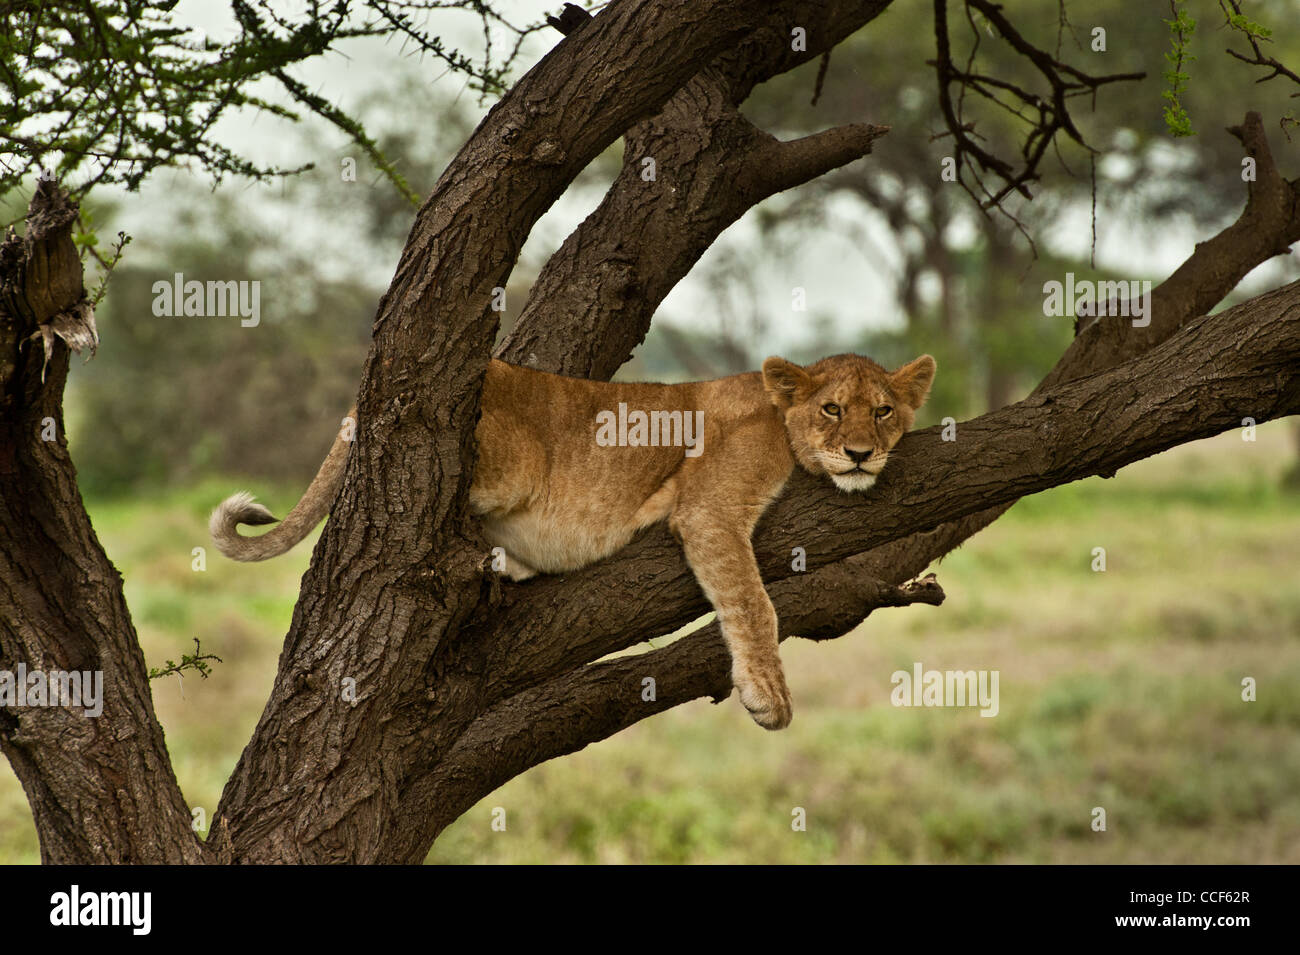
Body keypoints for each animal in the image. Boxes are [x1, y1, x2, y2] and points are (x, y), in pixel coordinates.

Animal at [211, 353, 936, 729]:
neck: (780, 418)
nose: (862, 453)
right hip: (504, 460)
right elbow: (754, 603)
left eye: (884, 410)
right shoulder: (710, 510)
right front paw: (768, 696)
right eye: (832, 409)